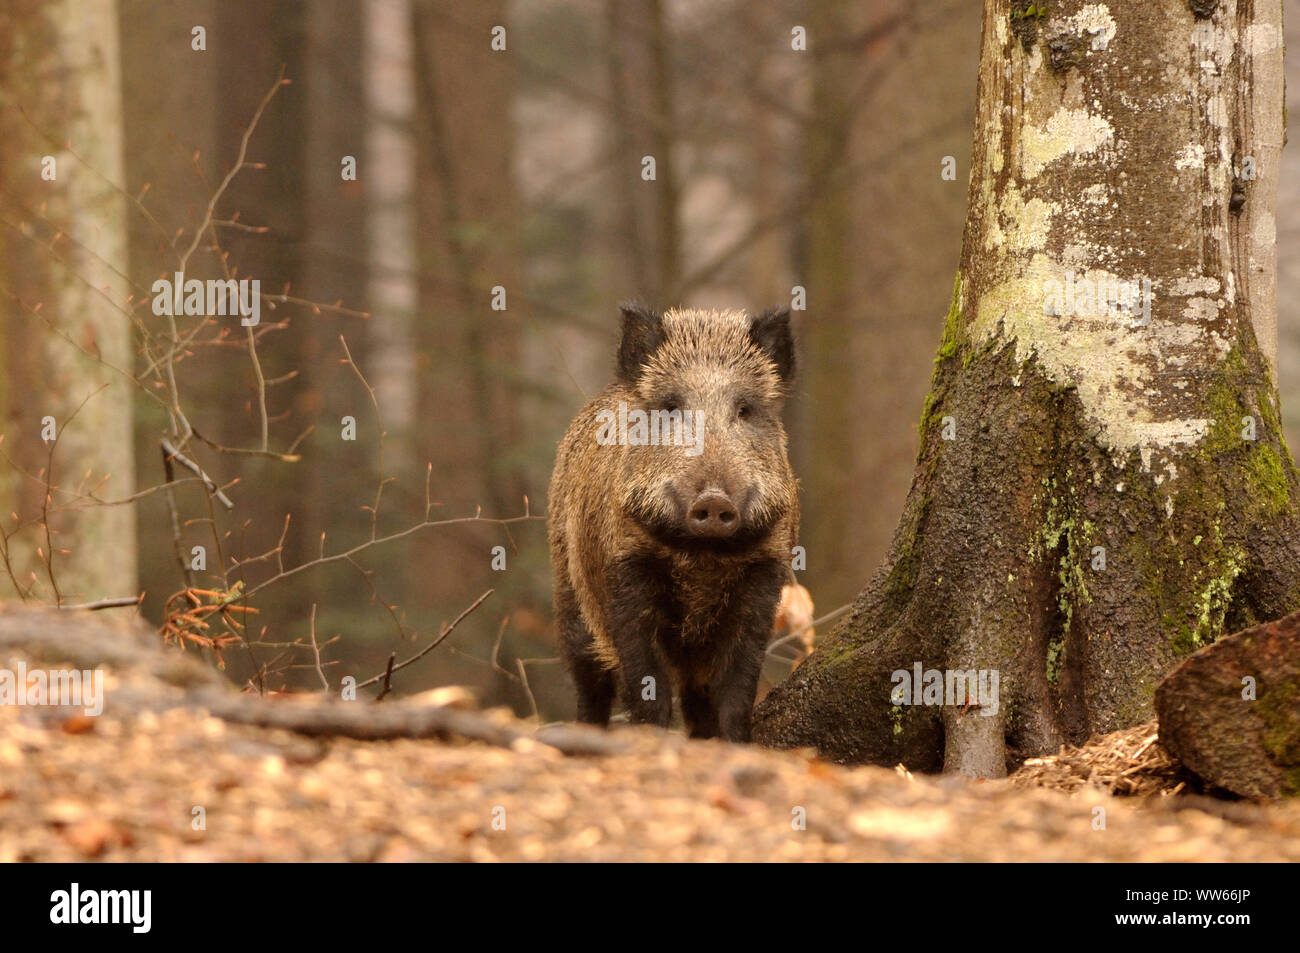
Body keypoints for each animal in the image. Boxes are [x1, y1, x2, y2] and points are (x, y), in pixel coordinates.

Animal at [548, 303, 800, 741]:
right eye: (670, 407)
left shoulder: (764, 574)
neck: (702, 557)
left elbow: (737, 687)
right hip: (568, 588)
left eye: (745, 410)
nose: (714, 499)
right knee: (589, 679)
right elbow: (646, 684)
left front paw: (734, 743)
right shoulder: (626, 571)